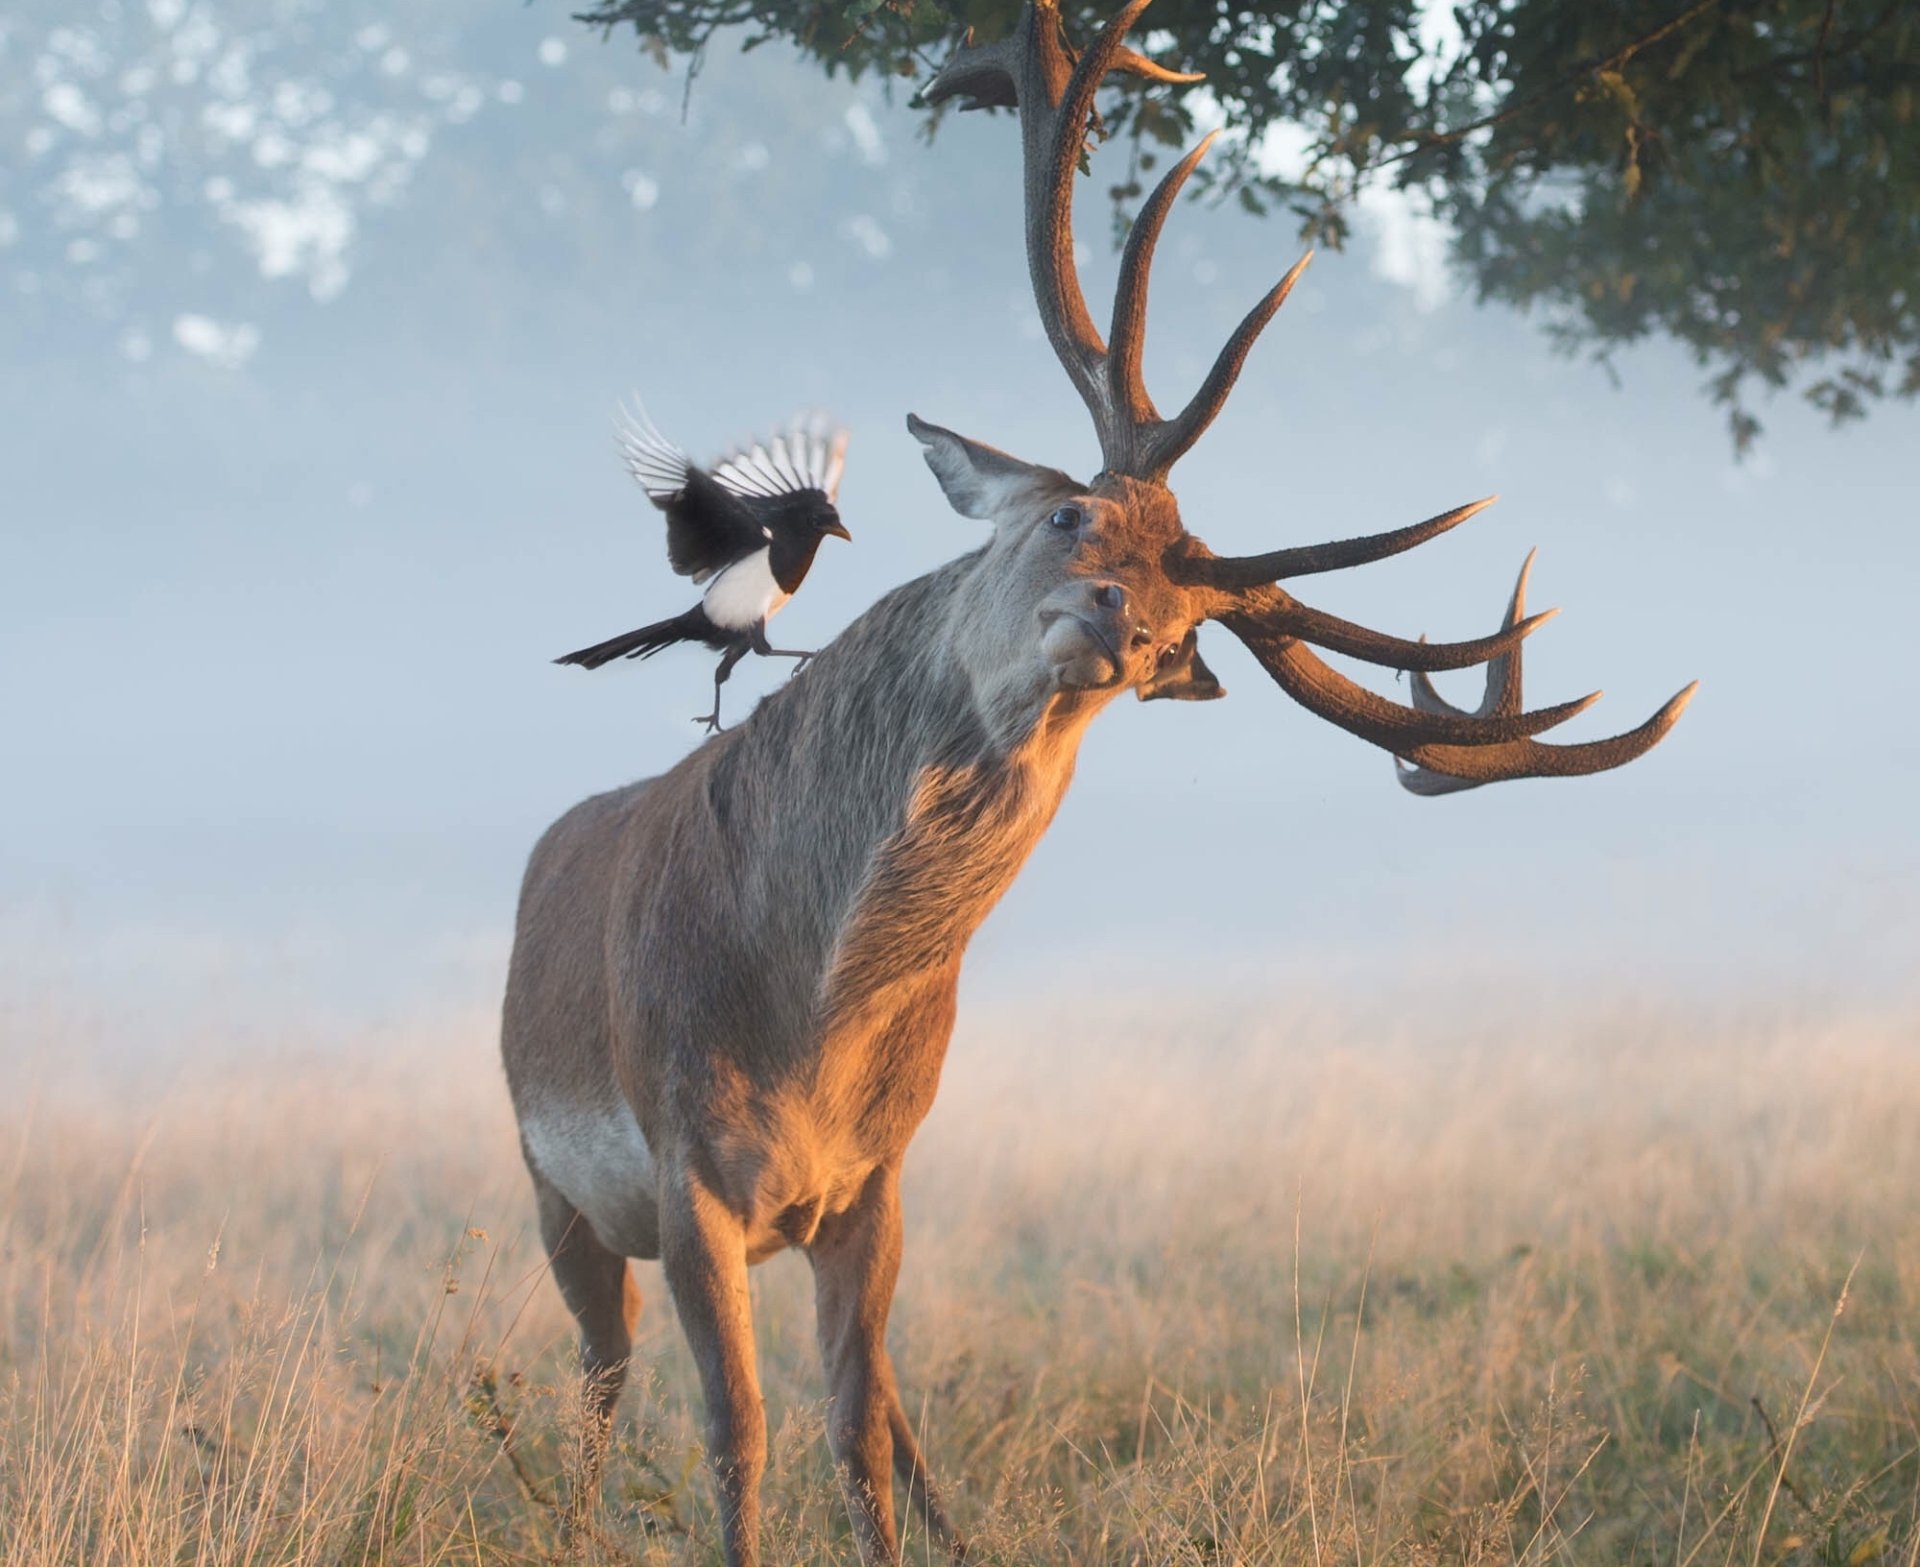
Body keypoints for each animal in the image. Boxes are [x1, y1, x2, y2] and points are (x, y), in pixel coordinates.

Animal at [499, 2, 1697, 1562]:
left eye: (1186, 624)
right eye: (1072, 512)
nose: (1122, 625)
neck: (802, 1025)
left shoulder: (881, 1176)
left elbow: (855, 1426)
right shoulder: (684, 1165)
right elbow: (737, 1429)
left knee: (871, 1398)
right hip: (549, 1176)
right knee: (597, 1370)